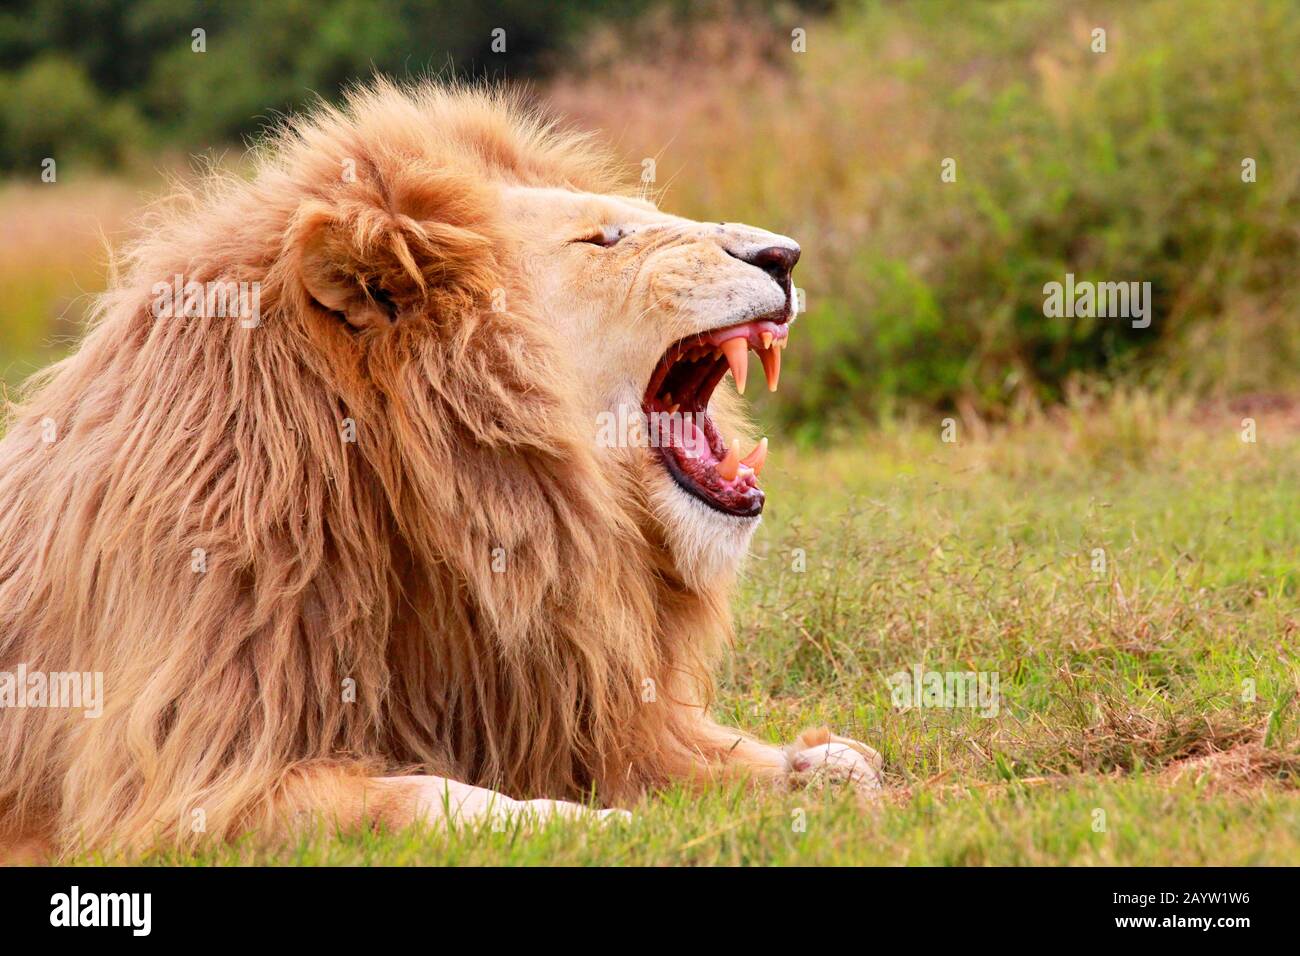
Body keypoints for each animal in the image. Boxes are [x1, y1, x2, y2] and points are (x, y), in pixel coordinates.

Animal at [0, 80, 880, 859]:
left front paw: (822, 766)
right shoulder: (179, 782)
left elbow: (701, 753)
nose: (785, 254)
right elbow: (427, 798)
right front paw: (591, 827)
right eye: (604, 239)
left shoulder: (564, 707)